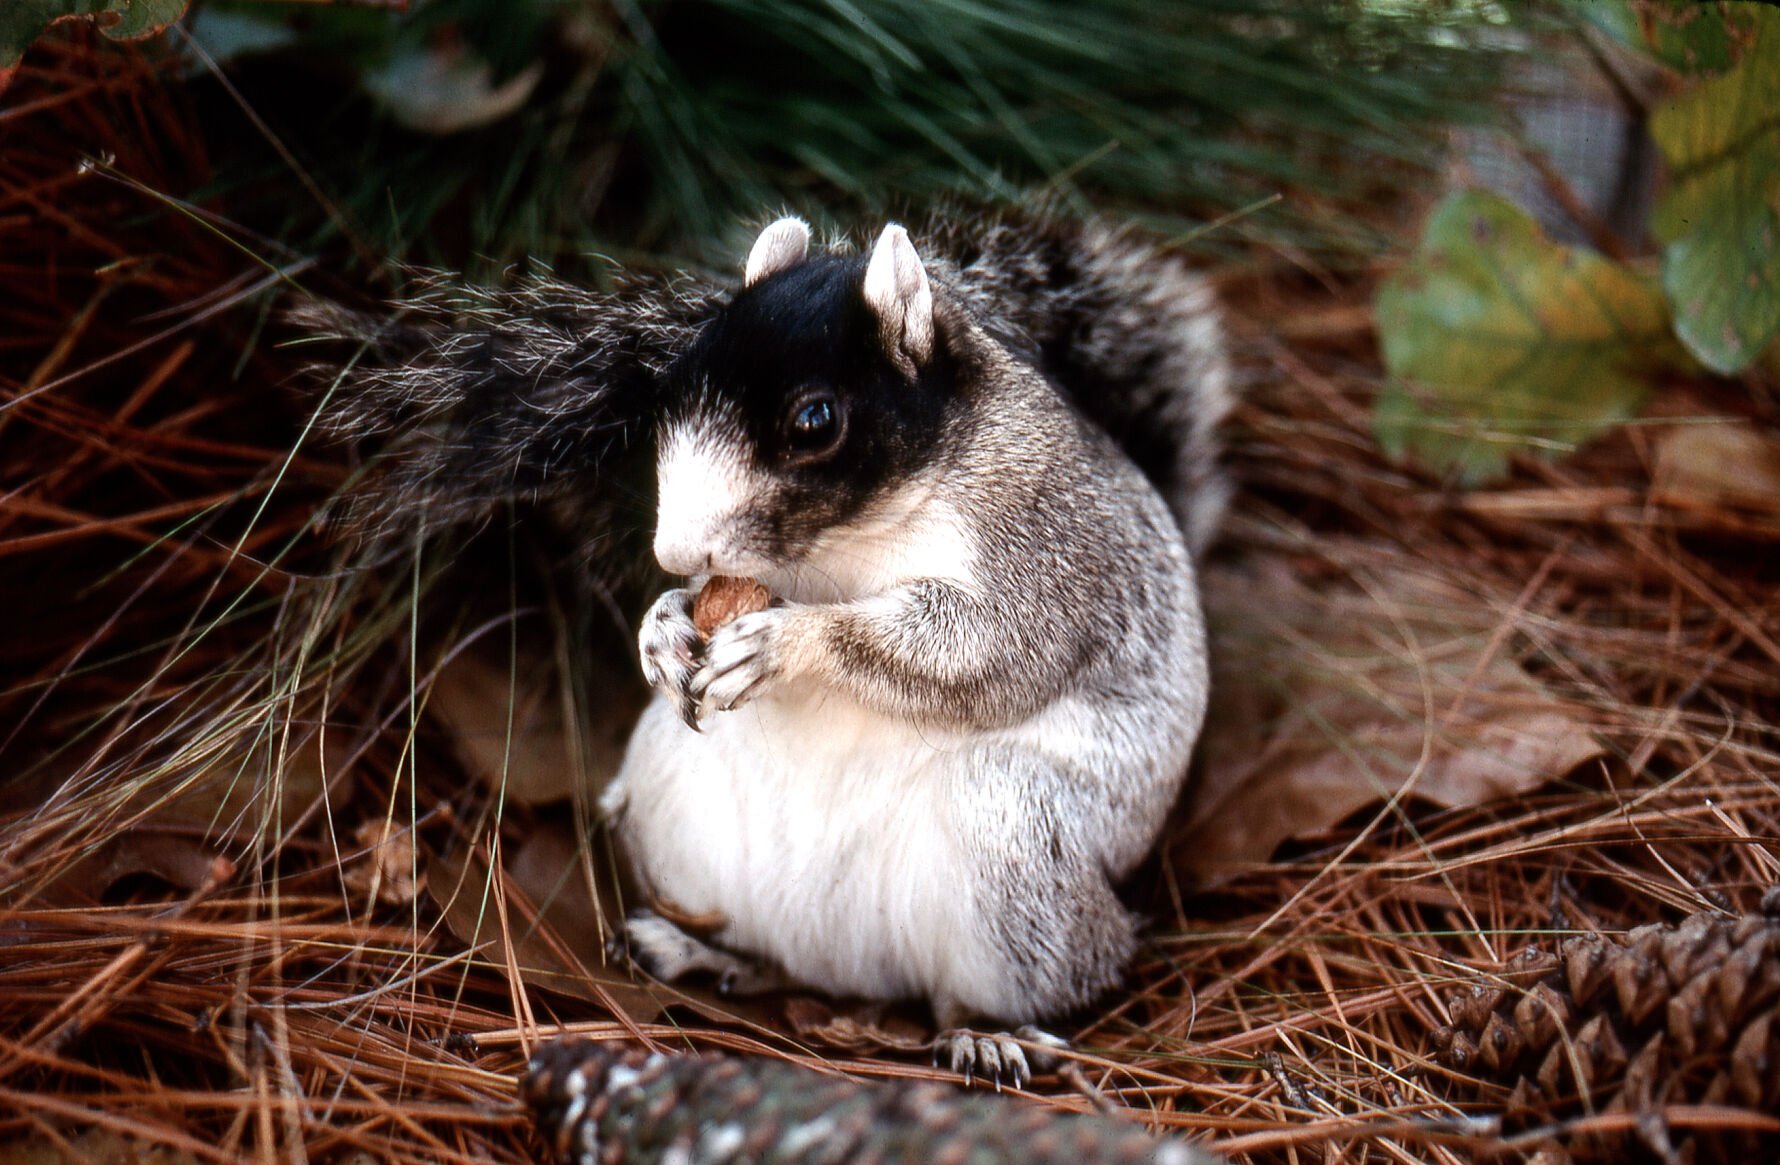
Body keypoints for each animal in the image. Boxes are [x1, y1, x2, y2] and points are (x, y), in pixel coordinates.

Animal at [299, 207, 1233, 1085]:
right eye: (670, 386)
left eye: (815, 420)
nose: (676, 551)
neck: (850, 541)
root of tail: (849, 965)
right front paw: (663, 623)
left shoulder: (1048, 557)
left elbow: (988, 648)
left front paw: (789, 641)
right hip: (671, 797)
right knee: (767, 952)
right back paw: (699, 952)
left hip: (1014, 836)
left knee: (1051, 974)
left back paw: (988, 1034)